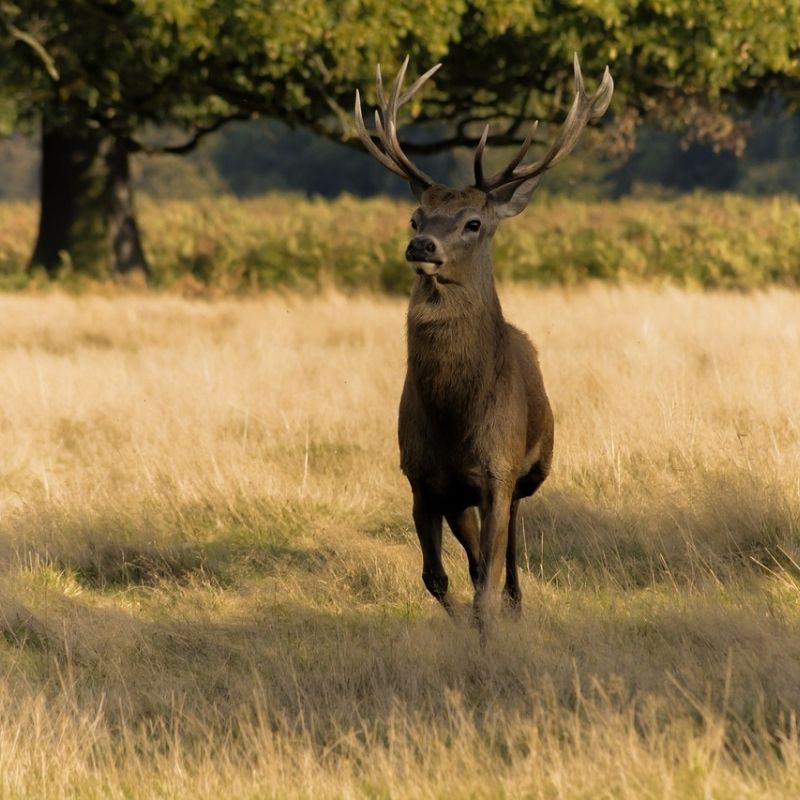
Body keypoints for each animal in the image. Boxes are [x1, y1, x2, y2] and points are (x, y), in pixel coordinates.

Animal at [354, 55, 613, 635]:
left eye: (474, 222)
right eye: (415, 217)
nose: (421, 245)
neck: (456, 420)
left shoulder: (499, 468)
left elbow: (487, 583)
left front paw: (490, 631)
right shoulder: (421, 478)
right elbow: (439, 578)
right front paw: (462, 627)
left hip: (528, 469)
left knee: (511, 540)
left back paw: (517, 601)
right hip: (460, 496)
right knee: (474, 556)